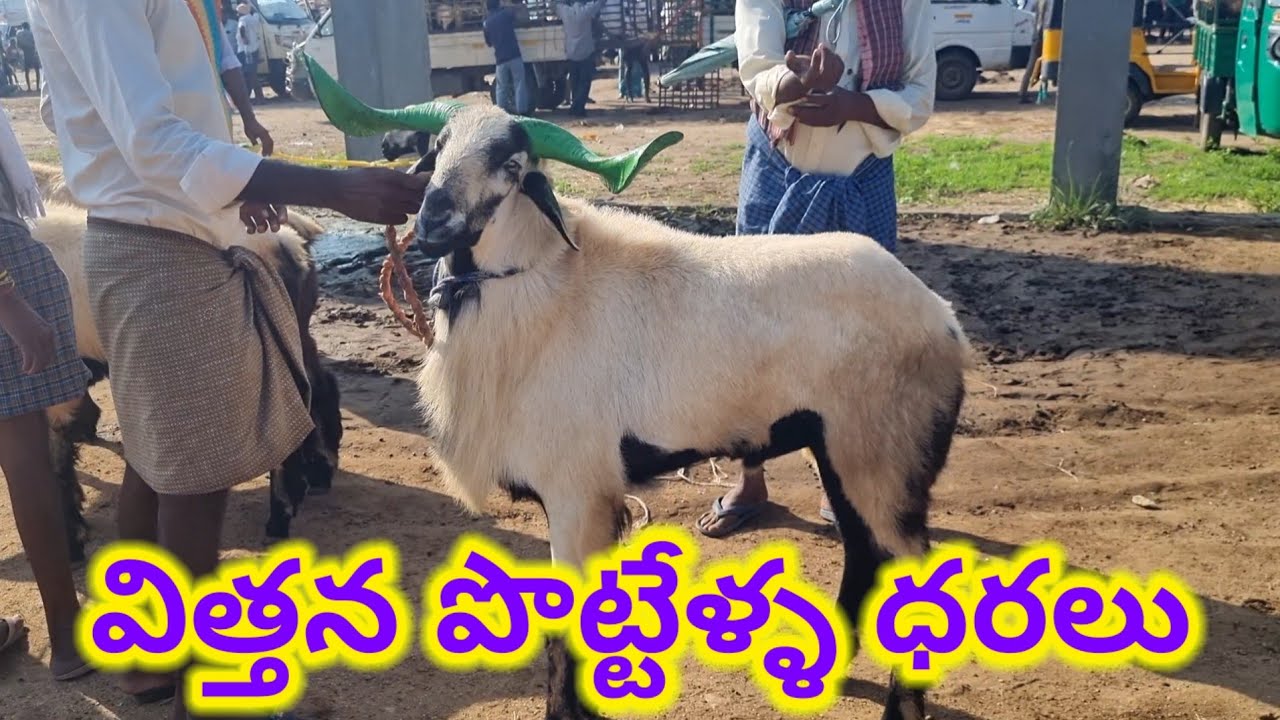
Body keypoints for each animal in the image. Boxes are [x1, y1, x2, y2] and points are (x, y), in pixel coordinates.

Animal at [31, 200, 344, 563]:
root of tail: (290, 245)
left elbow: (54, 466)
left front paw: (72, 543)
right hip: (295, 333)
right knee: (320, 388)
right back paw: (319, 475)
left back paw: (282, 516)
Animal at [409, 105, 971, 720]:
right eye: (436, 147)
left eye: (511, 165)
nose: (431, 221)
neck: (545, 288)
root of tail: (941, 316)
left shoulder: (577, 489)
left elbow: (564, 628)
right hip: (842, 452)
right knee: (864, 555)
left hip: (885, 456)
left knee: (906, 568)